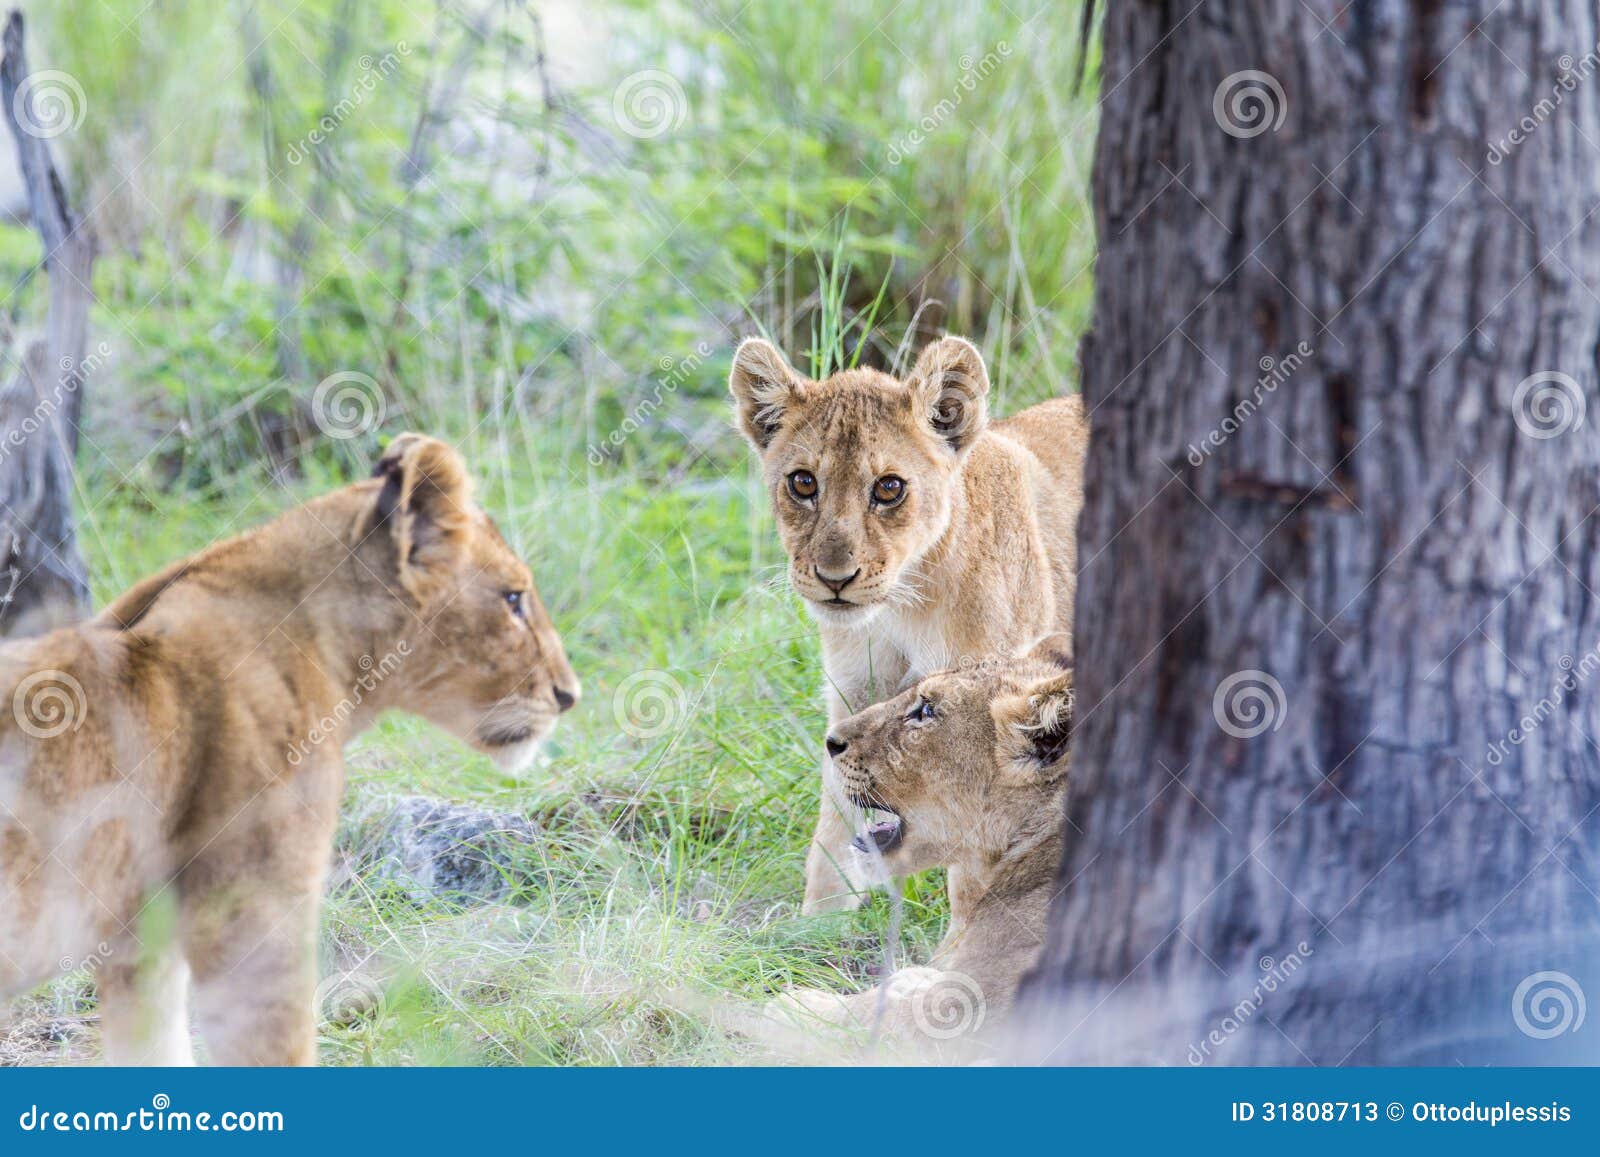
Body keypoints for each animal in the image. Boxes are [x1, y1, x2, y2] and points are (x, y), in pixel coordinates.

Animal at [729, 334, 1085, 913]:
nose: (835, 579)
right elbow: (836, 814)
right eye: (803, 483)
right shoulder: (854, 693)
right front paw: (812, 923)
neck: (904, 604)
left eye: (889, 488)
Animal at [772, 635, 1072, 1051]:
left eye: (925, 710)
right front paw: (909, 977)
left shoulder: (976, 1012)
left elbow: (874, 1018)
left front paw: (793, 1007)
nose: (830, 741)